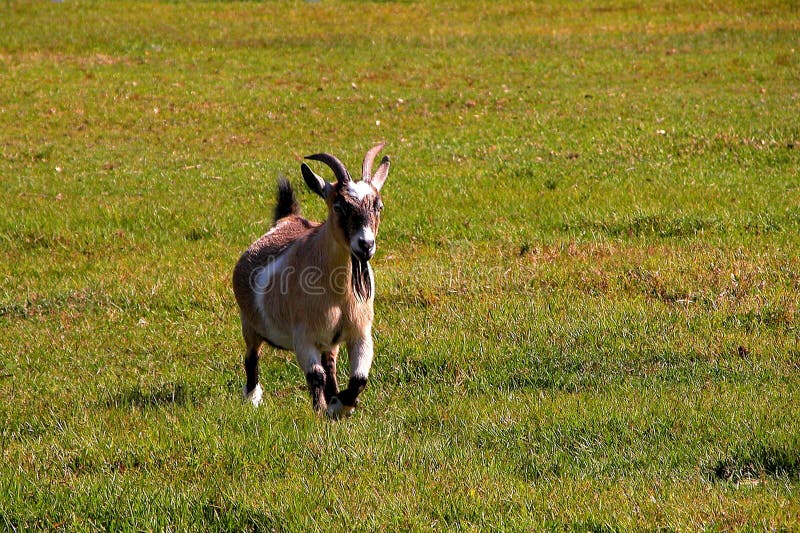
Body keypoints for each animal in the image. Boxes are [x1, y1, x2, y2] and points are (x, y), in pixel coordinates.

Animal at [232, 143, 391, 418]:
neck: (338, 295)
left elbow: (359, 378)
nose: (366, 245)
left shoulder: (360, 332)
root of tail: (286, 220)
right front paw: (322, 410)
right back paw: (252, 397)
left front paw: (340, 405)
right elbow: (315, 376)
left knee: (330, 364)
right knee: (252, 357)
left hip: (329, 341)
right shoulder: (303, 335)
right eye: (338, 206)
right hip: (249, 324)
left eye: (378, 206)